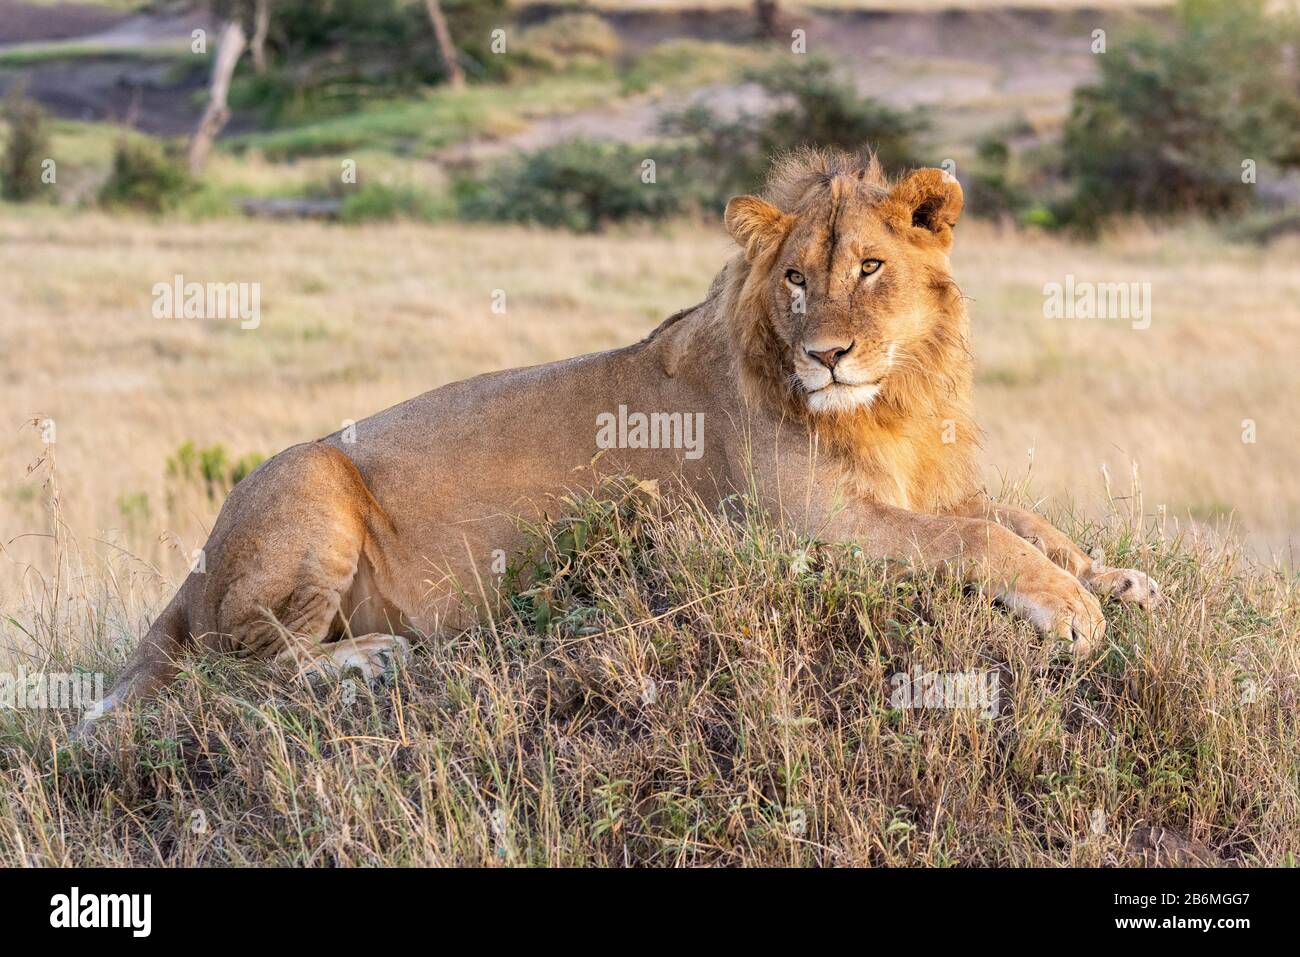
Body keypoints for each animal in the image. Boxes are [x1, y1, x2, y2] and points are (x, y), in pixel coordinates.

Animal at [90, 149, 1160, 723]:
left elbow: (1024, 519)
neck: (893, 399)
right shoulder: (813, 525)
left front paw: (1115, 577)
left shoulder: (924, 485)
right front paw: (1074, 610)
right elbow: (981, 537)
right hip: (309, 481)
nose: (827, 356)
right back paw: (366, 659)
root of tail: (197, 564)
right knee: (236, 666)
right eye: (796, 279)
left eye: (869, 267)